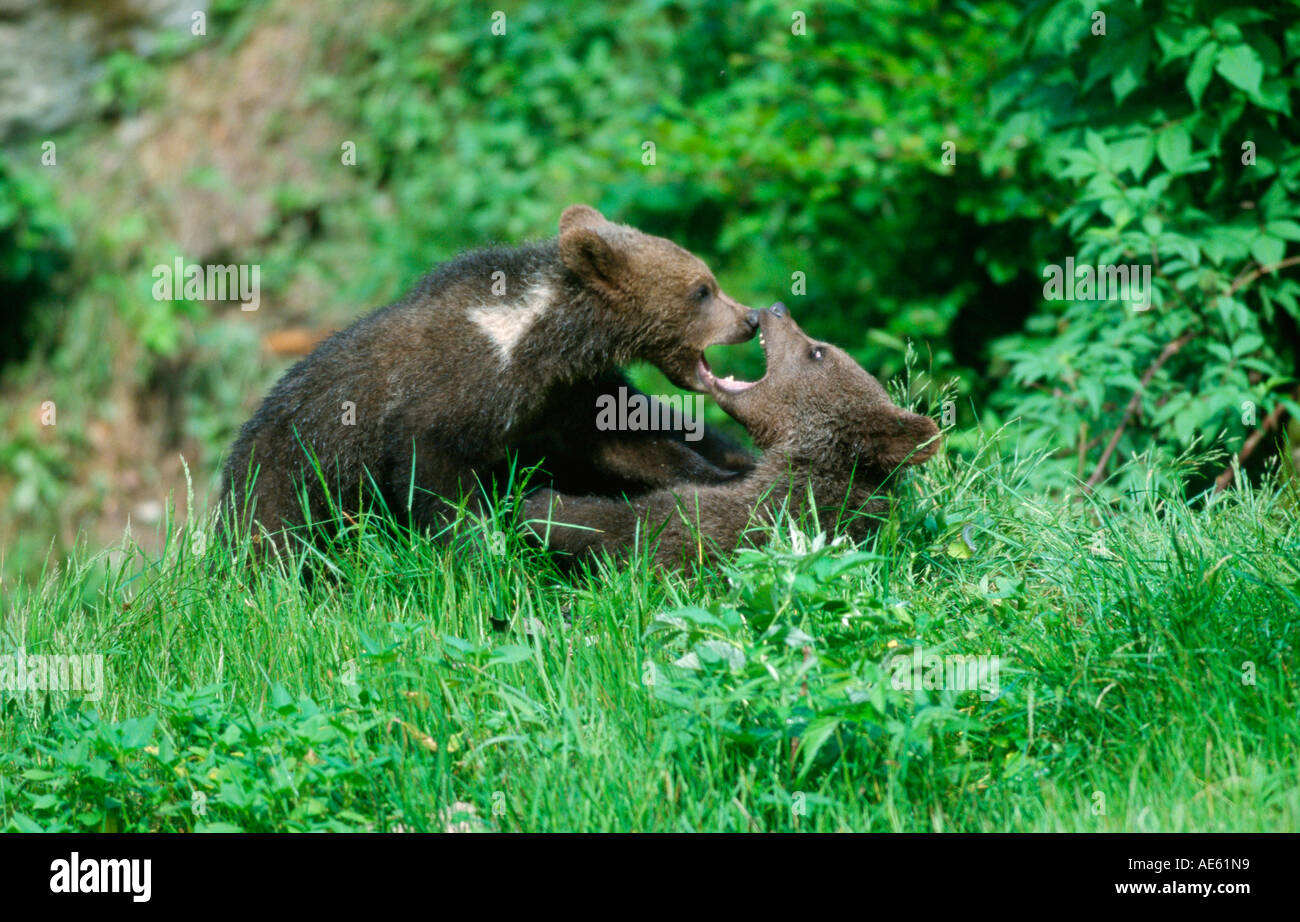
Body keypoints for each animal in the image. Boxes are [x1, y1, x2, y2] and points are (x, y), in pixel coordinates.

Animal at [219, 205, 759, 544]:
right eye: (703, 290)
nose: (751, 318)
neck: (531, 343)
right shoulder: (442, 402)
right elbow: (439, 483)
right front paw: (485, 544)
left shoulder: (565, 394)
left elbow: (631, 440)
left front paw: (724, 471)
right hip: (288, 477)